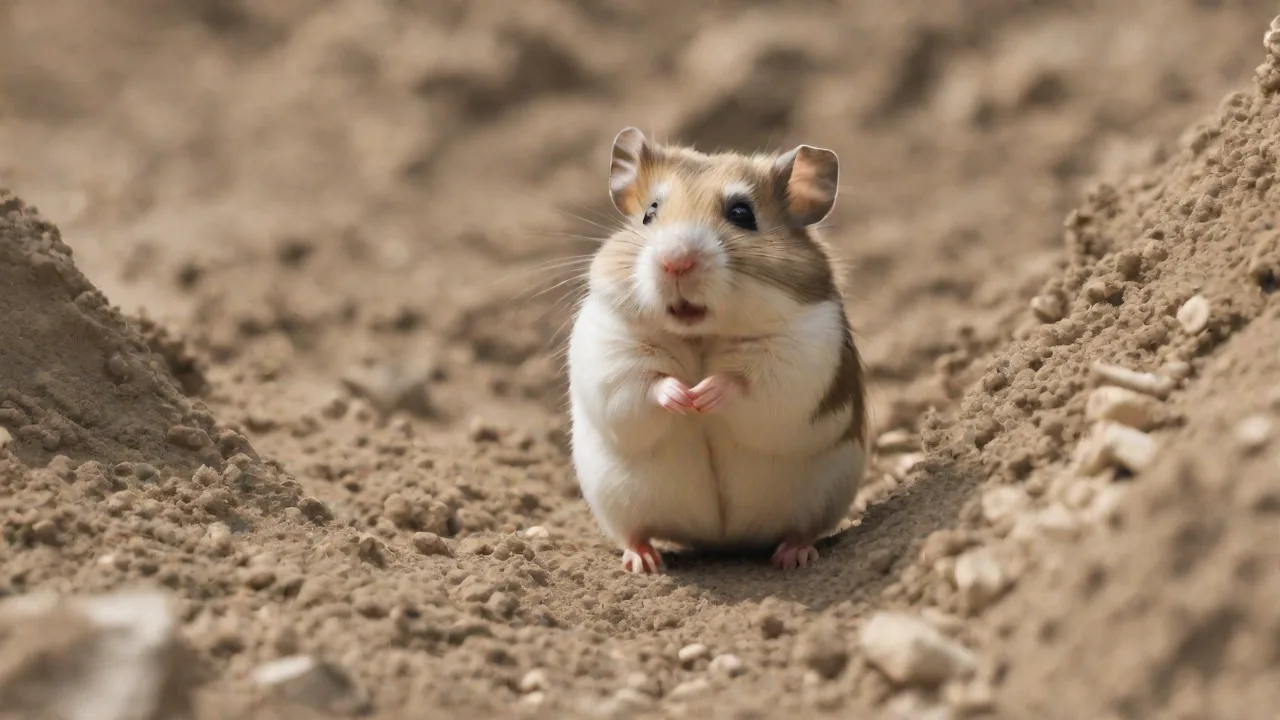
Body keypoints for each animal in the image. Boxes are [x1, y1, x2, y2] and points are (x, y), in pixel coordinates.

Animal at [566, 126, 869, 573]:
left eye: (742, 214)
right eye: (650, 212)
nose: (675, 262)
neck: (700, 334)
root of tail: (720, 540)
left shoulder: (796, 357)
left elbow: (744, 382)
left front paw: (704, 395)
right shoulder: (613, 351)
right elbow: (648, 383)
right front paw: (684, 398)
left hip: (824, 495)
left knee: (803, 529)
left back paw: (793, 556)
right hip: (613, 499)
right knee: (633, 531)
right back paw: (643, 562)